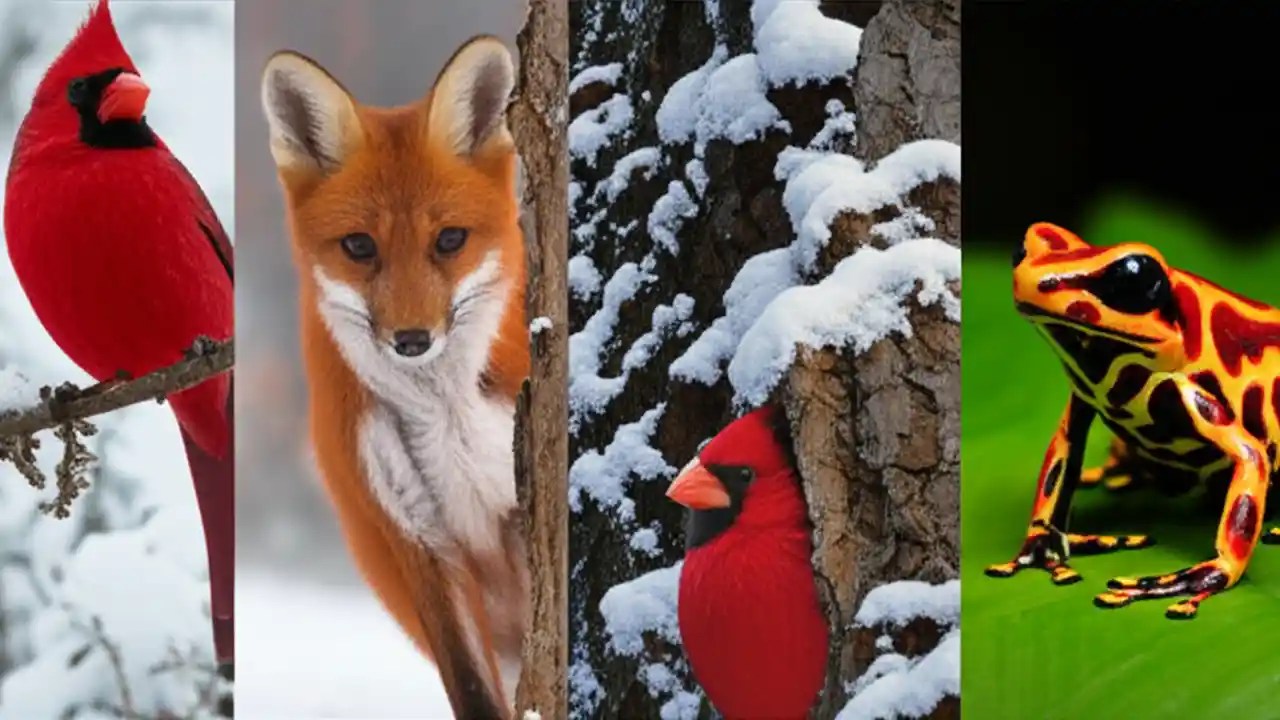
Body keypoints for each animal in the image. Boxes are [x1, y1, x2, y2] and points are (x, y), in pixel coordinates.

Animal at [259, 36, 530, 719]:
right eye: (359, 247)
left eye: (450, 240)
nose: (412, 340)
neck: (448, 416)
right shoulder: (419, 540)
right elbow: (472, 693)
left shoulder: (518, 511)